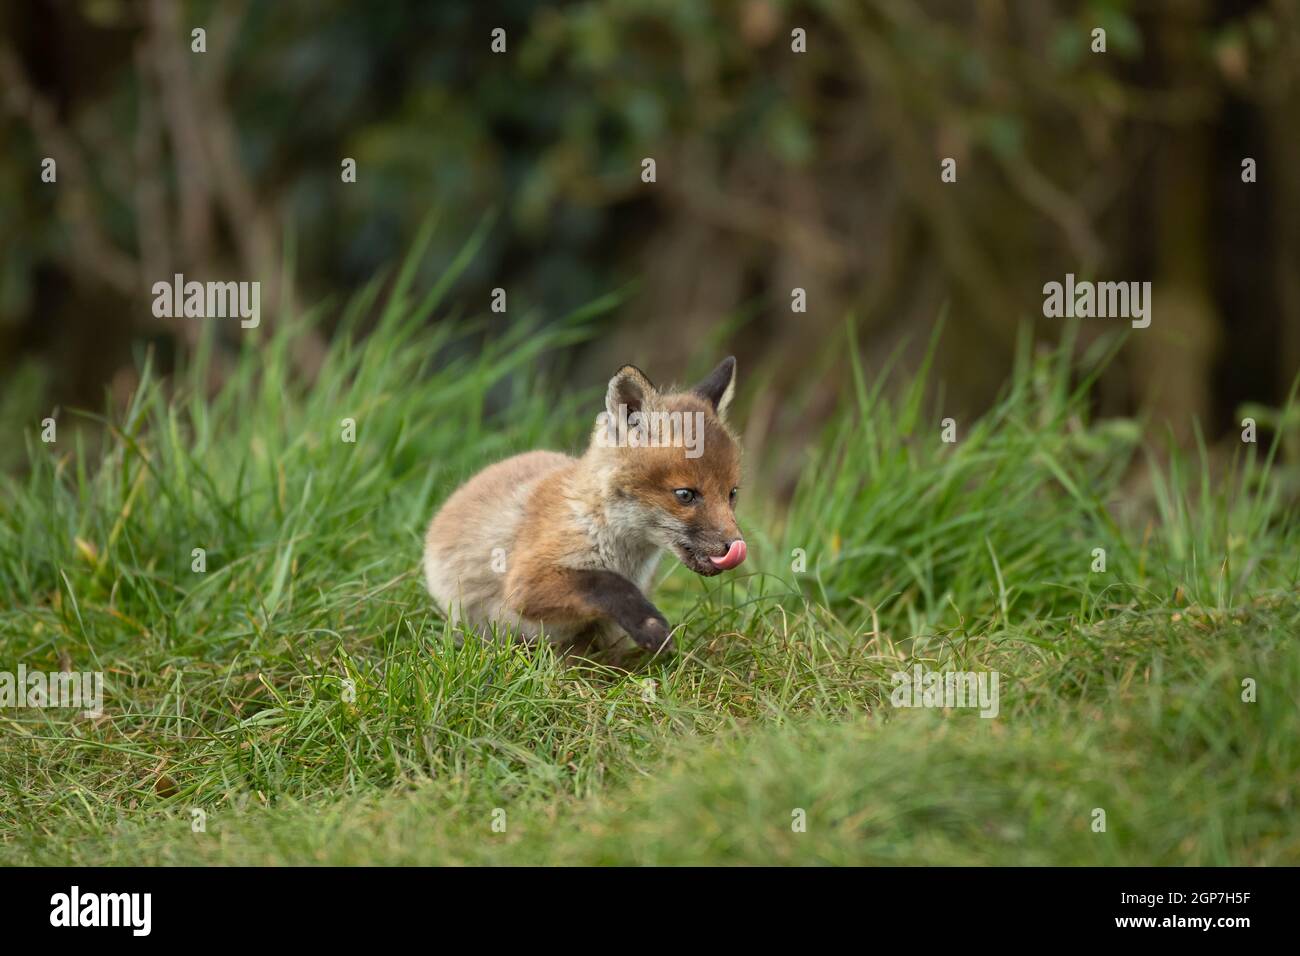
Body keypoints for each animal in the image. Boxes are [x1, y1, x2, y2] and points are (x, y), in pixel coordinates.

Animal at [422, 356, 747, 658]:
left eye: (732, 493)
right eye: (685, 494)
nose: (735, 546)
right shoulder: (523, 582)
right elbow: (604, 584)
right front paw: (649, 625)